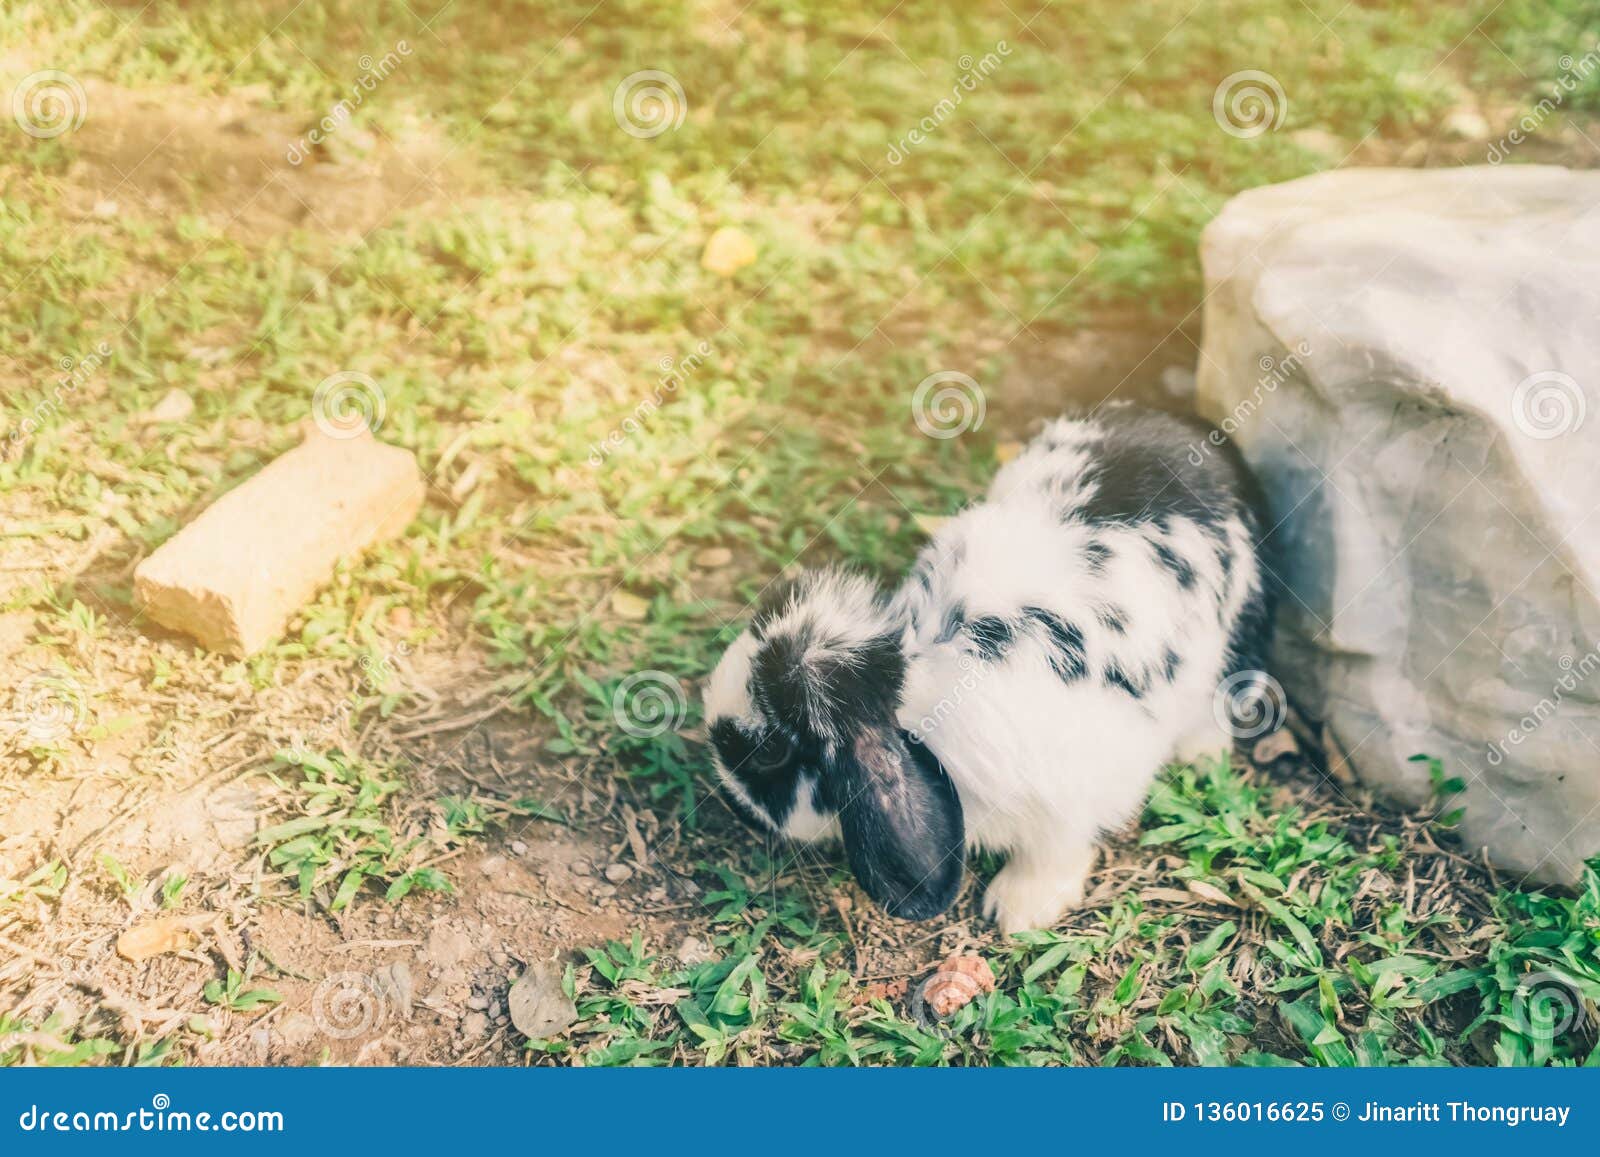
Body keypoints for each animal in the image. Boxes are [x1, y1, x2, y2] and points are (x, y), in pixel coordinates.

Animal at [703, 402, 1275, 933]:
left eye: (771, 751)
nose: (731, 799)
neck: (919, 687)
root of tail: (1194, 429)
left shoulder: (1071, 803)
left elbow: (1055, 855)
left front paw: (1018, 911)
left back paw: (1204, 756)